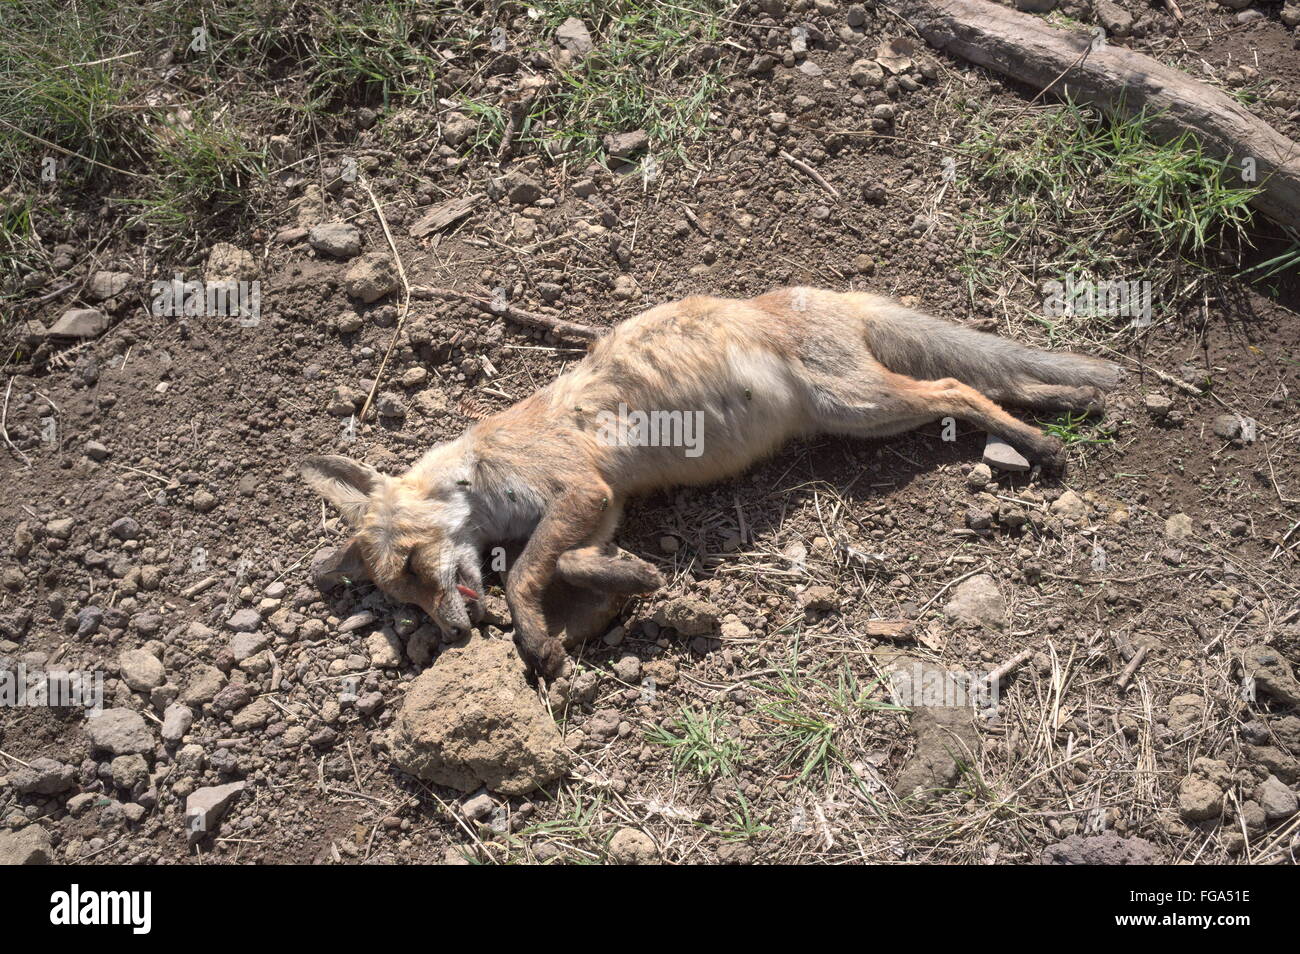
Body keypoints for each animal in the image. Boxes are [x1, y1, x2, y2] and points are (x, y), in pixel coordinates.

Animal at [302, 287, 1120, 679]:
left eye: (414, 568)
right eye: (404, 596)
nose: (451, 633)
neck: (487, 471)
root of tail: (822, 294)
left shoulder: (579, 488)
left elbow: (527, 570)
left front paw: (535, 635)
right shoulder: (606, 505)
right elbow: (574, 561)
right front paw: (630, 575)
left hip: (858, 403)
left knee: (958, 385)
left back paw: (1040, 441)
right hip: (863, 417)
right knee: (989, 379)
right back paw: (1066, 402)